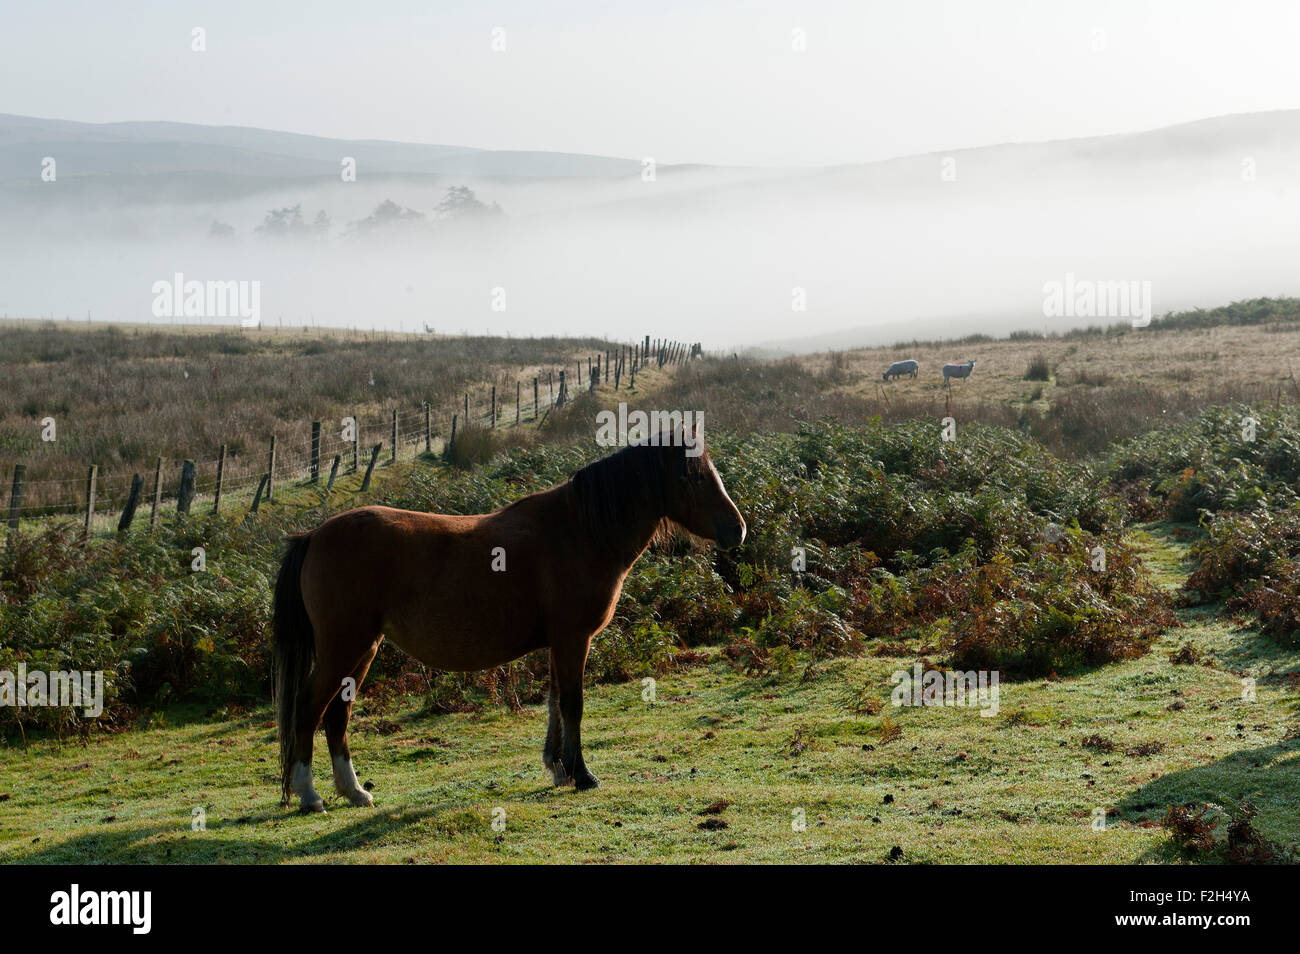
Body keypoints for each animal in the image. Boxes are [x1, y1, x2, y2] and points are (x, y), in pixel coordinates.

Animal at [271, 426, 746, 812]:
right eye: (695, 476)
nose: (736, 529)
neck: (580, 530)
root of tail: (314, 536)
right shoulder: (574, 639)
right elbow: (572, 704)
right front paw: (582, 775)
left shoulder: (559, 642)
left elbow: (555, 704)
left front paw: (559, 769)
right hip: (344, 647)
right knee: (309, 709)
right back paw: (310, 795)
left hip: (364, 649)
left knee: (337, 715)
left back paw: (353, 792)